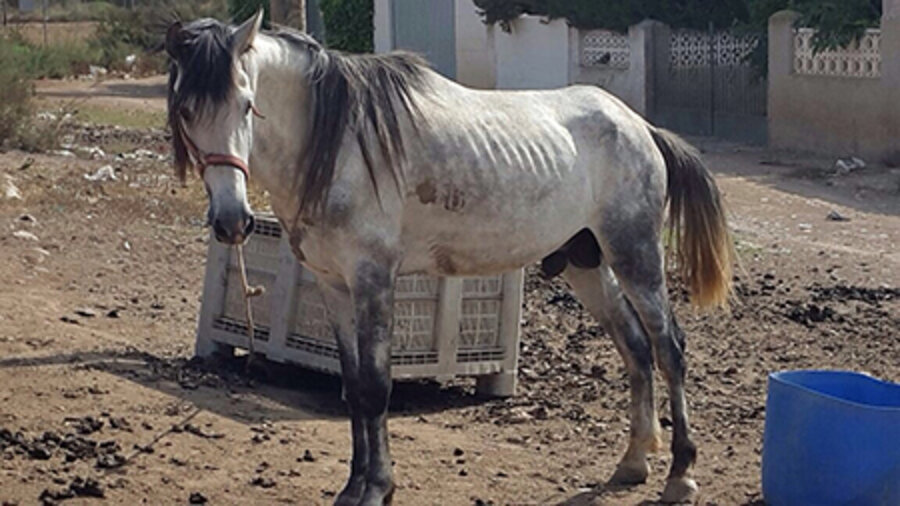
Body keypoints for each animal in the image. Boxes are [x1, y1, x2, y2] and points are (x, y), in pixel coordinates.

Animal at [165, 11, 734, 505]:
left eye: (247, 105)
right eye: (187, 111)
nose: (232, 221)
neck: (339, 142)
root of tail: (639, 126)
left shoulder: (374, 280)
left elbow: (375, 387)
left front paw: (377, 488)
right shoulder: (333, 285)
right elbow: (352, 386)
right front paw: (354, 486)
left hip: (635, 255)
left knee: (669, 348)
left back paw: (680, 474)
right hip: (587, 263)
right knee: (635, 348)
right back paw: (634, 462)